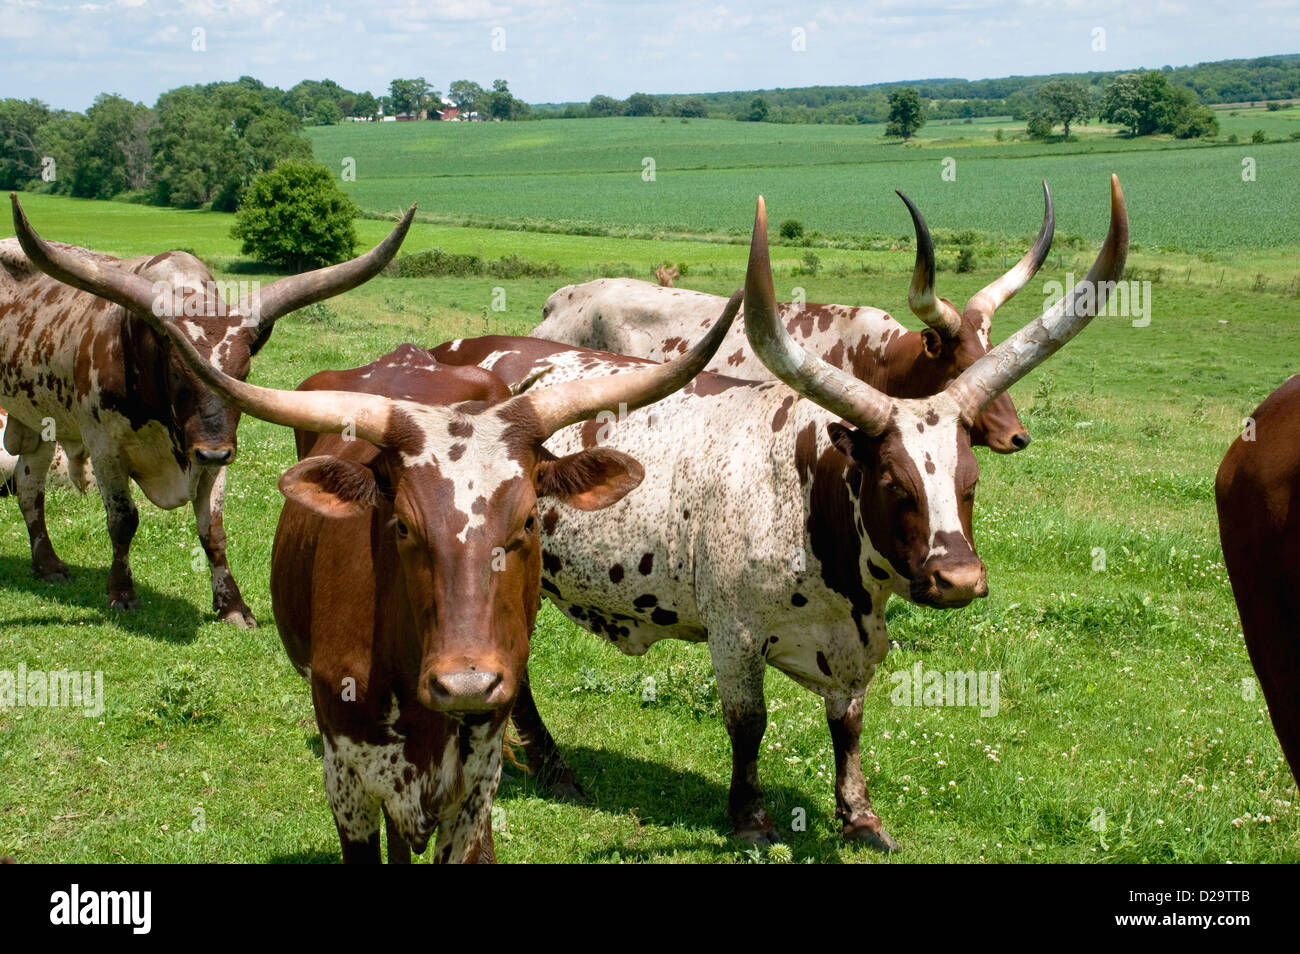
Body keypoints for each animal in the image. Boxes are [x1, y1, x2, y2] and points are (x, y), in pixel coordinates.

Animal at [2, 194, 413, 624]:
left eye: (242, 373)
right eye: (177, 371)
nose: (212, 451)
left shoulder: (213, 455)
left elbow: (212, 530)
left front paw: (232, 604)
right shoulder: (104, 448)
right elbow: (123, 520)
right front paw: (122, 593)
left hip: (37, 421)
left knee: (29, 487)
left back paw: (47, 565)